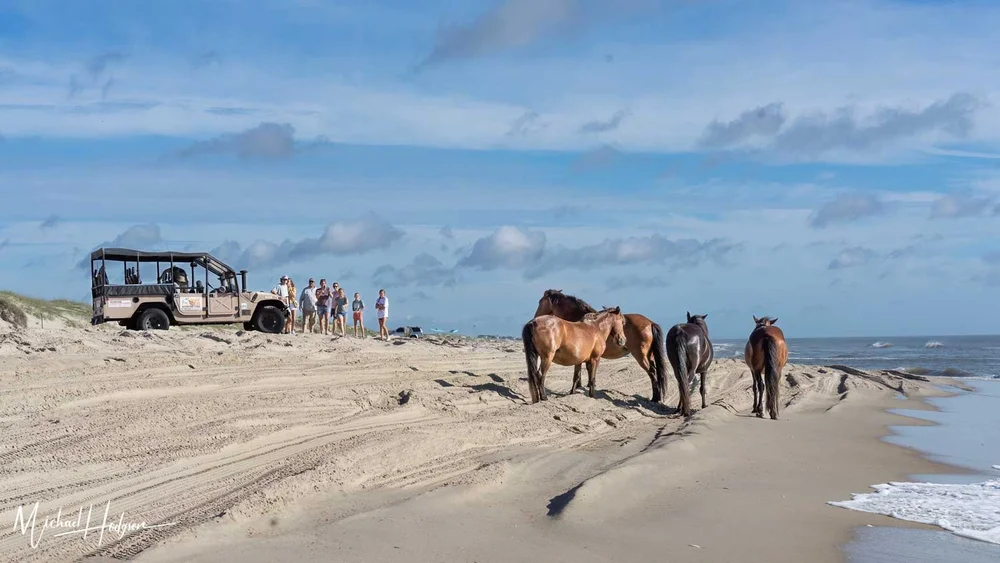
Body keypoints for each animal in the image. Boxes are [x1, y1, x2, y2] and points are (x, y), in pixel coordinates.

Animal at [534, 289, 688, 413]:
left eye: (540, 301)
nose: (535, 317)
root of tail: (650, 323)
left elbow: (577, 374)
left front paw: (575, 391)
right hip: (649, 356)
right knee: (655, 372)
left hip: (640, 356)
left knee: (652, 372)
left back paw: (655, 398)